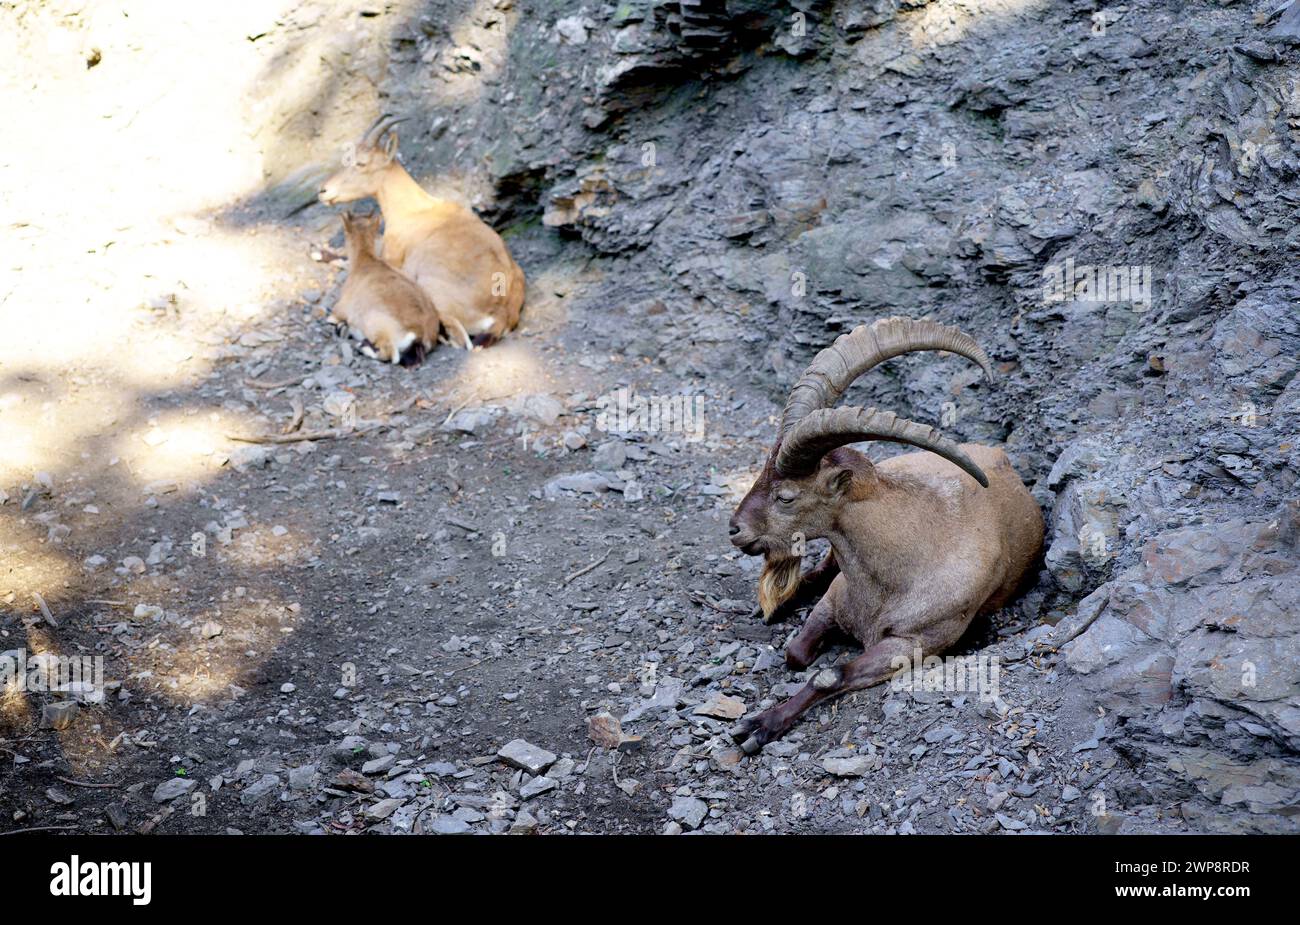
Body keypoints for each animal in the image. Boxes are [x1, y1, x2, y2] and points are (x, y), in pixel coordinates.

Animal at [318, 115, 525, 350]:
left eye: (361, 163)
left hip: (432, 290)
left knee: (459, 339)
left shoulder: (391, 260)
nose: (324, 191)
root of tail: (502, 311)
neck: (414, 209)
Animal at [329, 211, 441, 367]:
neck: (364, 262)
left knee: (390, 354)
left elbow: (332, 317)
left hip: (374, 324)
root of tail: (420, 333)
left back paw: (362, 346)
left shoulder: (341, 308)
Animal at [727, 317, 1044, 753]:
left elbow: (827, 674)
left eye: (786, 496)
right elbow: (795, 652)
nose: (735, 529)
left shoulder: (911, 644)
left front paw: (759, 726)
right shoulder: (834, 600)